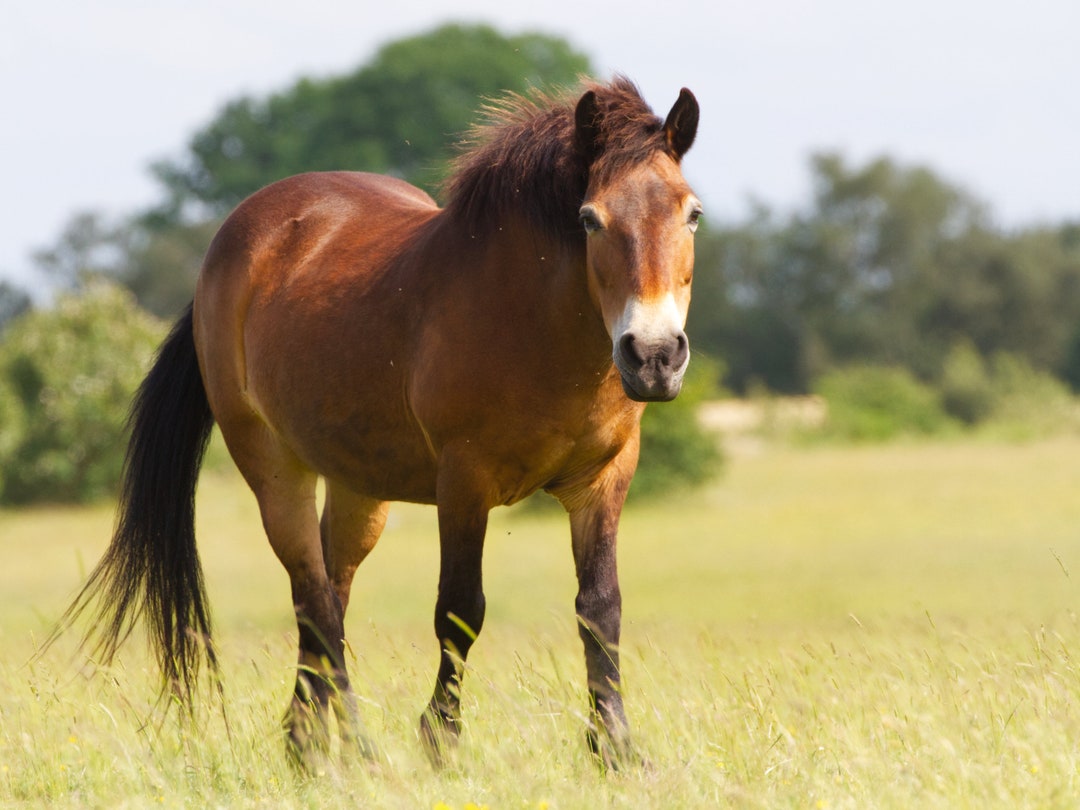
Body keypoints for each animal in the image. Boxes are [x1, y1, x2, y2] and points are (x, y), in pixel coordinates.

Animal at [62, 76, 701, 770]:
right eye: (590, 218)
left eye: (692, 213)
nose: (655, 355)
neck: (529, 317)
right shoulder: (464, 481)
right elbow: (460, 611)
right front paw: (440, 740)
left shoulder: (604, 478)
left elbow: (600, 609)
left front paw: (616, 747)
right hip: (272, 468)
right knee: (316, 600)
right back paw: (357, 746)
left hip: (359, 488)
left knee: (329, 596)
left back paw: (308, 744)